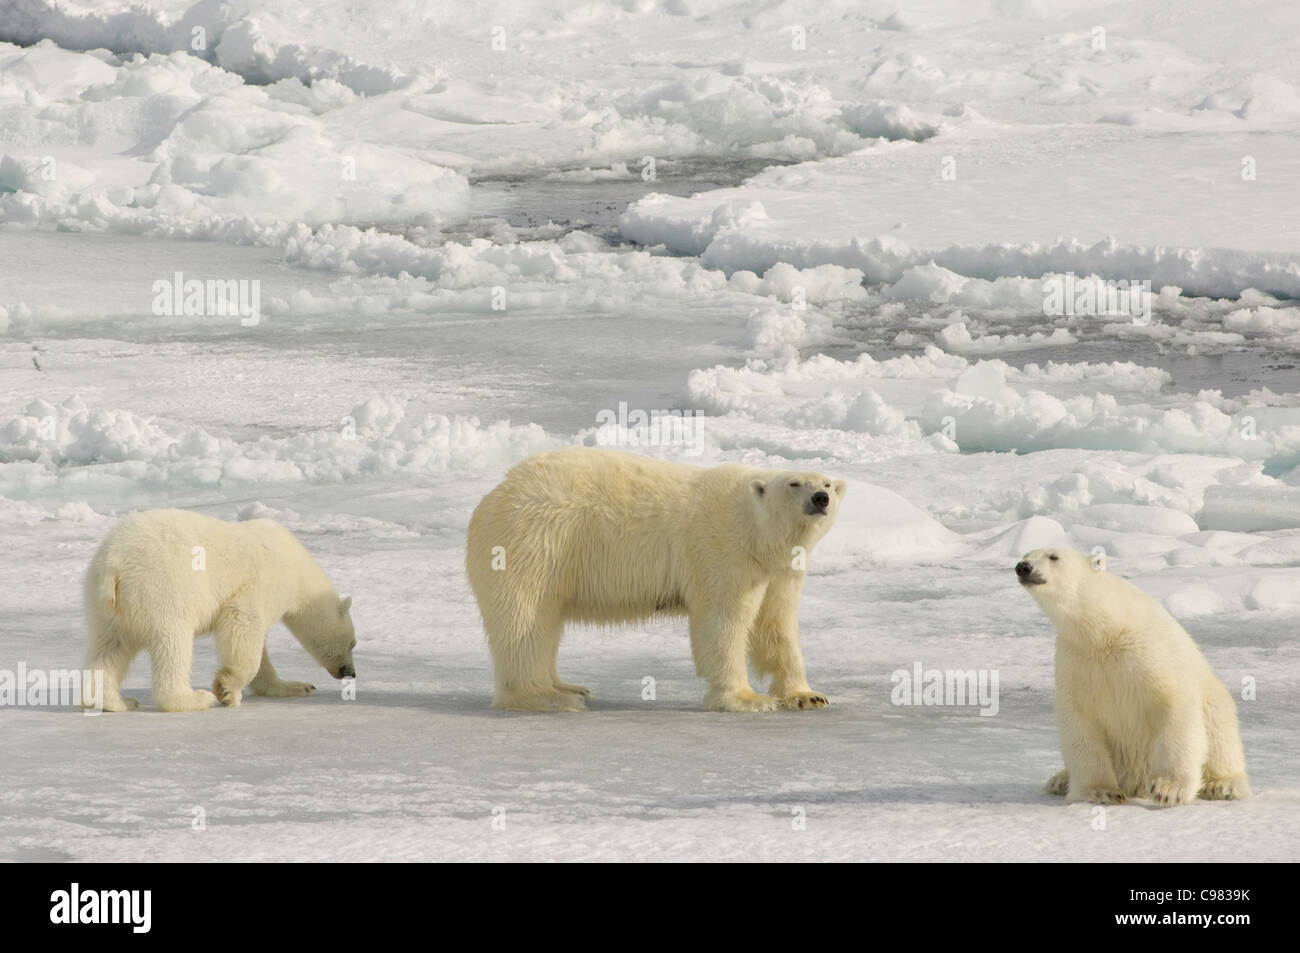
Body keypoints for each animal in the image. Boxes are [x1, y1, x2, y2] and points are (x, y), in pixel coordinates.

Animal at [82, 509, 357, 712]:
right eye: (352, 644)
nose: (350, 672)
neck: (298, 566)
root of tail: (114, 565)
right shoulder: (265, 580)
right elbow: (244, 621)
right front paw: (227, 690)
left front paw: (298, 686)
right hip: (161, 588)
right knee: (173, 642)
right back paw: (194, 698)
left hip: (106, 606)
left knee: (110, 648)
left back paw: (117, 702)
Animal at [465, 447, 846, 712]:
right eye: (794, 483)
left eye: (827, 483)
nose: (821, 498)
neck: (753, 530)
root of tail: (492, 497)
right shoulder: (721, 551)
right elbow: (723, 621)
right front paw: (748, 699)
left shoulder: (779, 570)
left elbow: (776, 623)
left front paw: (807, 695)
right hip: (536, 544)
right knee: (525, 620)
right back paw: (548, 698)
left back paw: (567, 687)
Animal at [1015, 547, 1250, 806]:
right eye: (1026, 555)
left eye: (1053, 556)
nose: (1023, 567)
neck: (1106, 629)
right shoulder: (1077, 661)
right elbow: (1078, 720)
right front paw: (1101, 791)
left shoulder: (1150, 652)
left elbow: (1174, 706)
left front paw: (1169, 789)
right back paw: (1059, 780)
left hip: (1215, 701)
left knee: (1220, 731)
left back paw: (1222, 785)